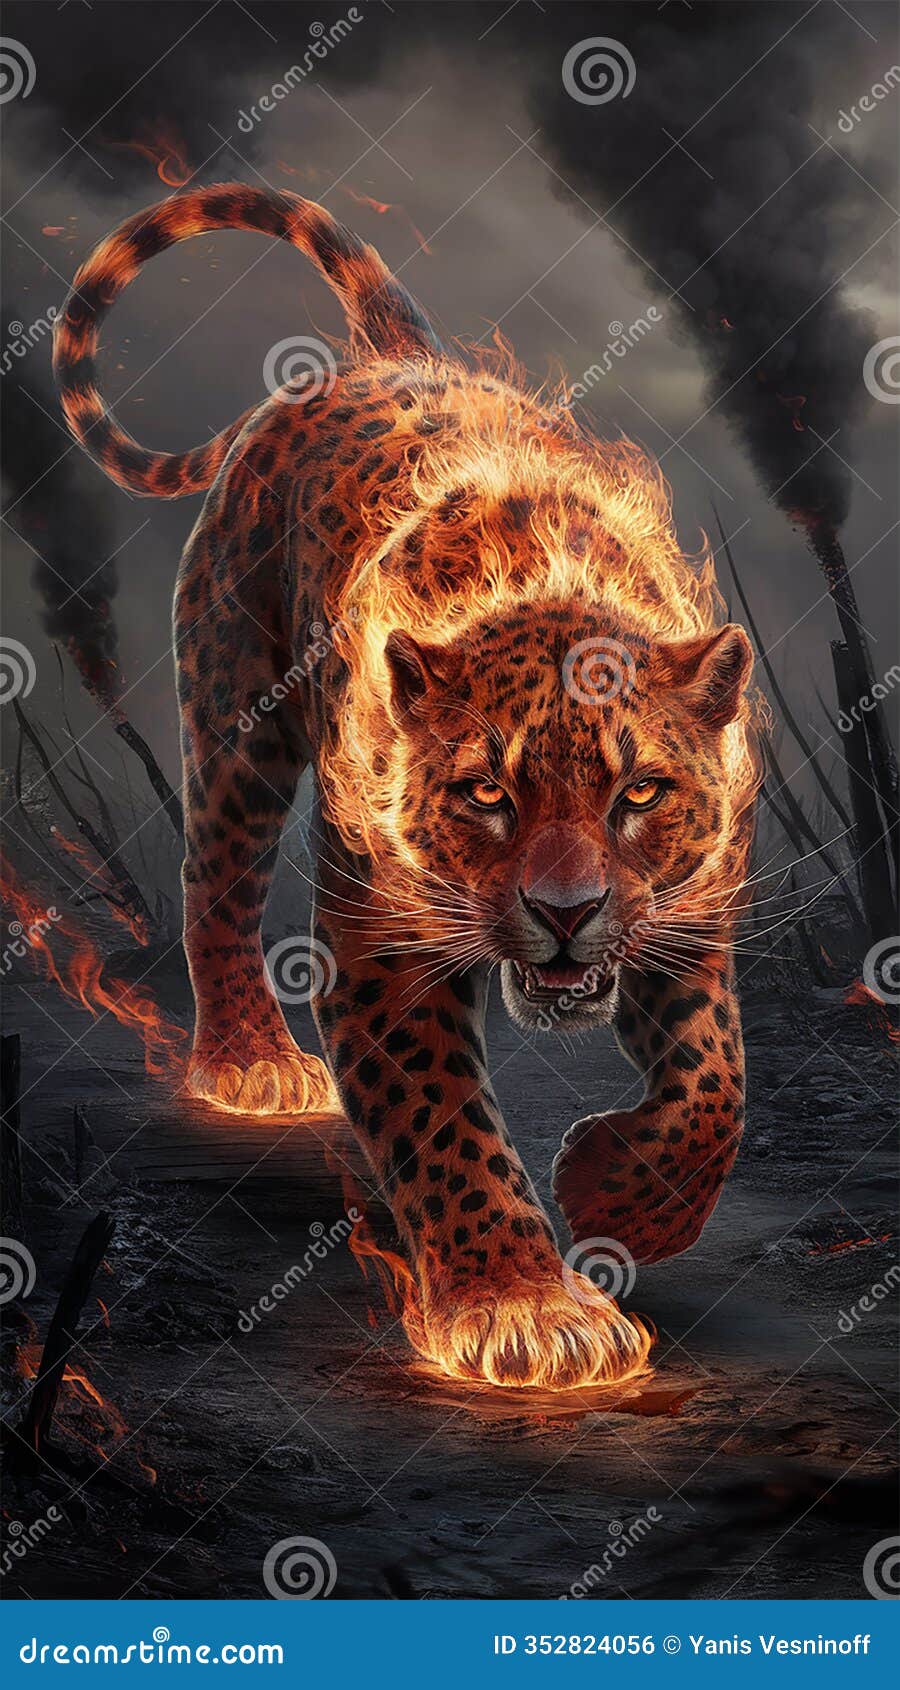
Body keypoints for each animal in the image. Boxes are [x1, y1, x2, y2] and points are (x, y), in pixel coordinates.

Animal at [54, 184, 761, 1389]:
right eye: (486, 794)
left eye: (640, 794)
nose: (566, 913)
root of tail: (382, 360)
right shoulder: (380, 947)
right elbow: (445, 1125)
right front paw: (529, 1309)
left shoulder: (688, 914)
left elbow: (716, 1084)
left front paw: (614, 1194)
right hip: (237, 713)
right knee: (216, 879)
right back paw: (248, 1063)